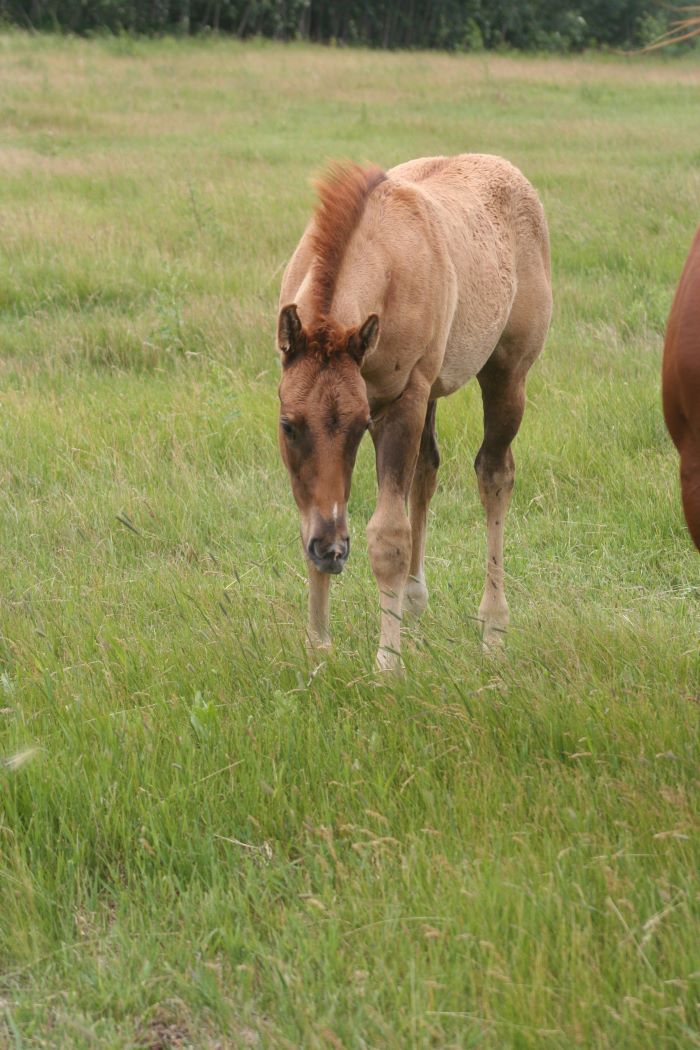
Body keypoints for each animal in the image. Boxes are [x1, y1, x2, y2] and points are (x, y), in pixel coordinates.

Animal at [276, 154, 552, 672]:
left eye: (360, 427)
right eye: (288, 425)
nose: (332, 551)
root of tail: (508, 168)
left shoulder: (402, 402)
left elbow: (389, 537)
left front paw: (388, 664)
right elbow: (314, 516)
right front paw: (318, 646)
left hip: (506, 375)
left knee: (494, 474)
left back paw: (493, 629)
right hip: (434, 392)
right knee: (427, 470)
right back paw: (414, 604)